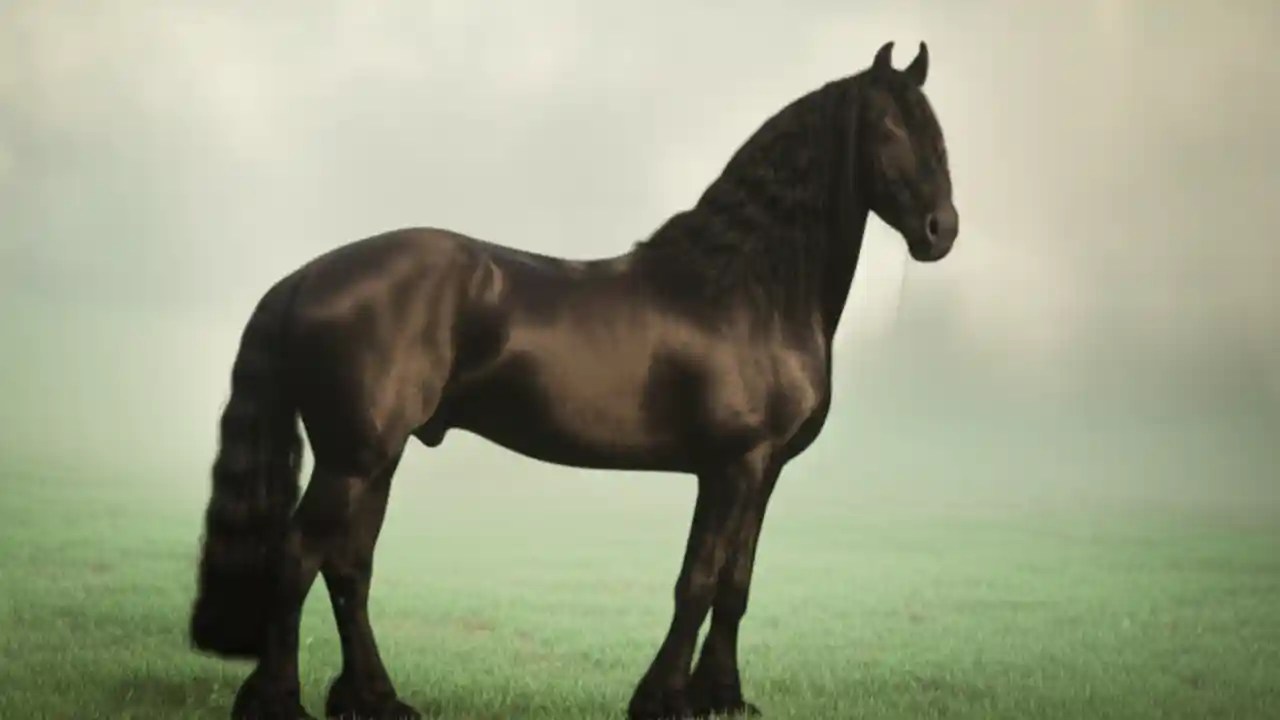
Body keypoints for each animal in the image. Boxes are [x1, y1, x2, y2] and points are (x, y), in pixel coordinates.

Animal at [189, 40, 958, 720]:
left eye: (937, 129)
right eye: (889, 126)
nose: (940, 230)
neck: (745, 291)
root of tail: (305, 276)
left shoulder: (763, 471)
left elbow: (735, 584)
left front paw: (724, 697)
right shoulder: (731, 465)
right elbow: (697, 581)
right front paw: (662, 698)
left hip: (375, 458)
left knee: (348, 566)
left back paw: (374, 699)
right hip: (354, 458)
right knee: (298, 557)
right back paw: (277, 701)